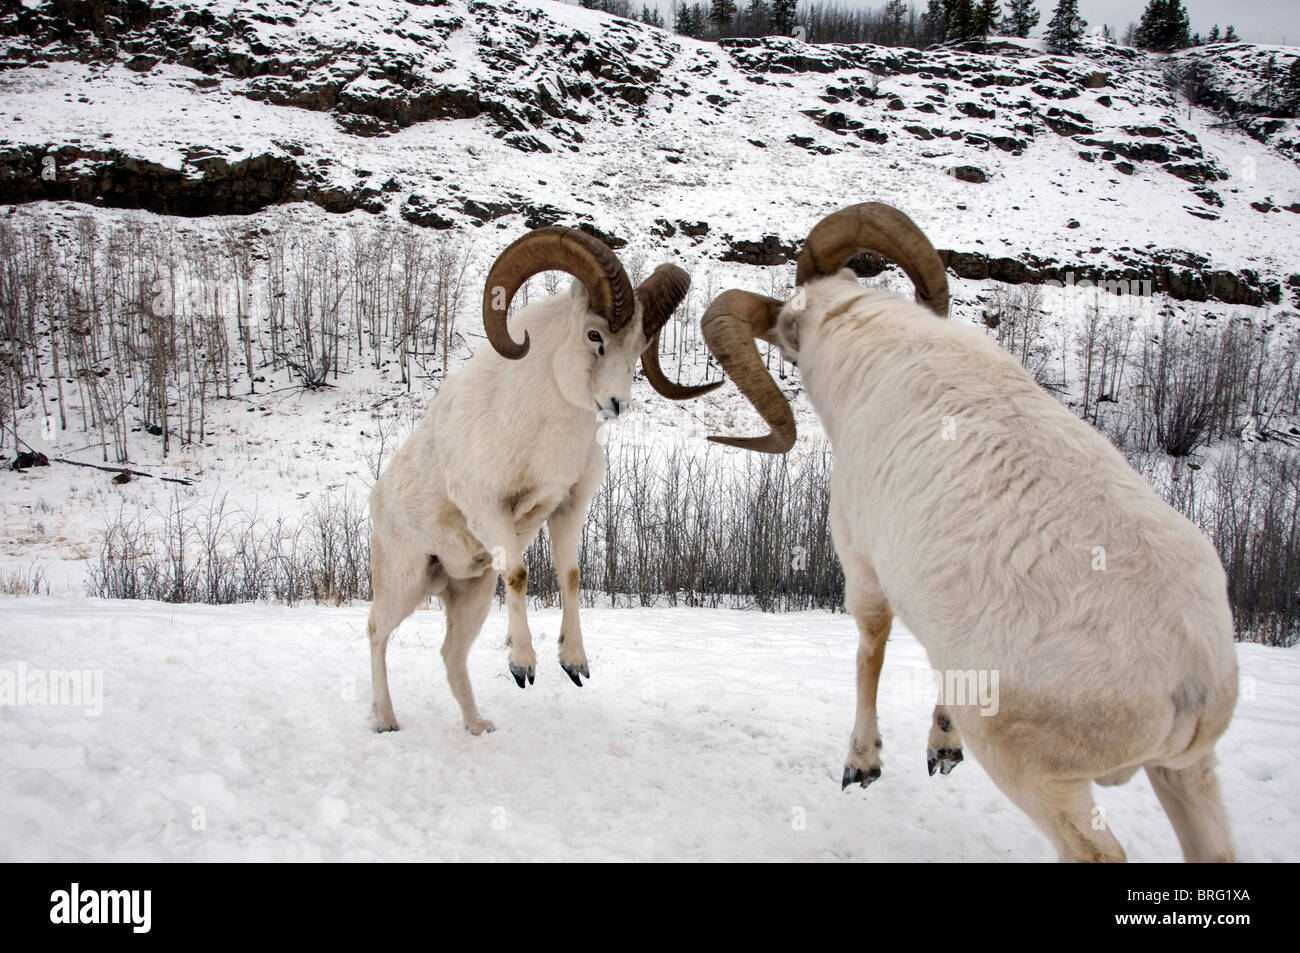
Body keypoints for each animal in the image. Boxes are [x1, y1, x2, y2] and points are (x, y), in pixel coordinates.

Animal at [368, 227, 717, 735]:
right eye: (594, 335)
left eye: (637, 347)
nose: (616, 404)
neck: (542, 435)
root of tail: (377, 503)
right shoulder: (489, 510)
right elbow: (518, 575)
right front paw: (524, 667)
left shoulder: (567, 508)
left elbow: (569, 575)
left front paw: (573, 664)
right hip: (405, 583)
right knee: (377, 632)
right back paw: (385, 721)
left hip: (470, 595)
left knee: (451, 654)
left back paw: (478, 726)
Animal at [698, 203, 1238, 862]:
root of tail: (1190, 675)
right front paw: (942, 747)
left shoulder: (864, 567)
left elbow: (871, 649)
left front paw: (862, 765)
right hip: (1190, 772)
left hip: (1037, 777)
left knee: (1096, 851)